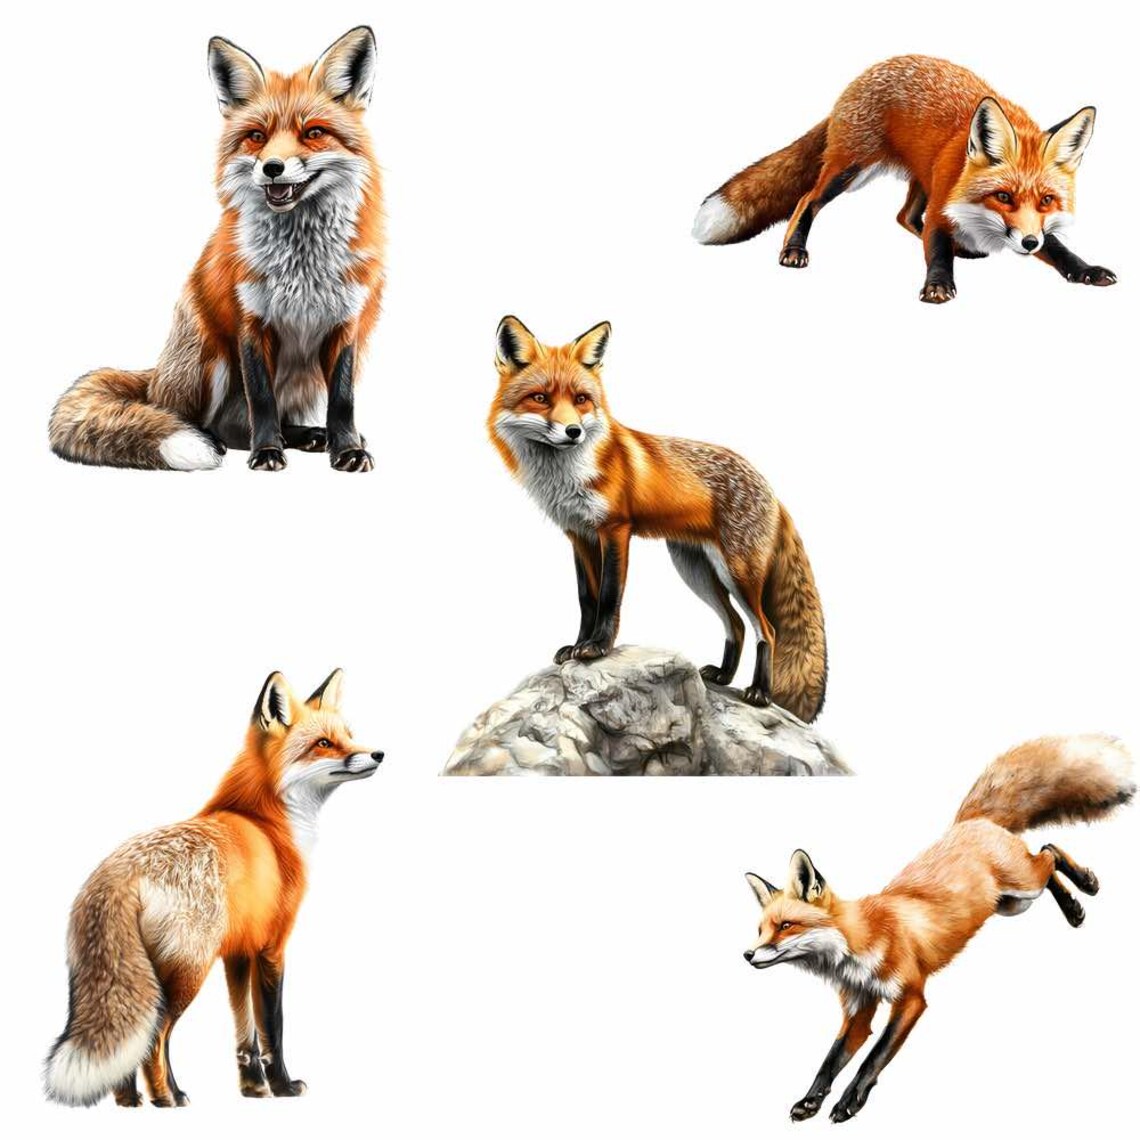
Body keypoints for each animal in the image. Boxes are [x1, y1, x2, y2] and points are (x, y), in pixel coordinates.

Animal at [43, 669, 383, 1107]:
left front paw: (253, 1087)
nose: (379, 754)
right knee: (156, 1037)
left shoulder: (237, 952)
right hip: (187, 970)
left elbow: (245, 1031)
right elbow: (273, 1026)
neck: (268, 824)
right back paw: (168, 1098)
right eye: (324, 743)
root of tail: (116, 873)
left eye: (349, 735)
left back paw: (130, 1101)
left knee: (136, 1045)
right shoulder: (272, 946)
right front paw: (283, 1087)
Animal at [49, 27, 385, 471]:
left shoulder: (346, 321)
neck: (300, 261)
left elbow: (343, 400)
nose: (272, 167)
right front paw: (267, 452)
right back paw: (214, 438)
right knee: (207, 421)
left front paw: (346, 449)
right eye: (257, 136)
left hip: (303, 377)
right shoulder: (251, 321)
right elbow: (262, 399)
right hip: (213, 358)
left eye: (313, 132)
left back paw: (310, 435)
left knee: (246, 423)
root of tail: (155, 377)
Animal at [489, 316, 826, 721]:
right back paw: (723, 675)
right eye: (540, 398)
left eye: (581, 399)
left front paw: (597, 647)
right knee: (737, 625)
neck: (567, 475)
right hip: (696, 572)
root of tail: (770, 488)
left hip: (738, 573)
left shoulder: (615, 531)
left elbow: (608, 597)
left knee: (767, 630)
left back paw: (759, 691)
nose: (574, 432)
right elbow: (586, 600)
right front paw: (577, 646)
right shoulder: (578, 535)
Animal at [693, 55, 1116, 303]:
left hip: (919, 179)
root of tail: (867, 73)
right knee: (807, 200)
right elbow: (937, 249)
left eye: (1046, 201)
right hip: (851, 170)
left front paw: (1085, 270)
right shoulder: (944, 206)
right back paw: (794, 250)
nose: (1028, 243)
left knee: (906, 217)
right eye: (1003, 197)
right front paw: (938, 284)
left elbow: (1058, 248)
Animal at [742, 734, 1133, 1122]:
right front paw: (811, 1100)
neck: (859, 942)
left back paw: (1085, 887)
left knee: (1049, 852)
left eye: (786, 925)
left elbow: (874, 1057)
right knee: (1047, 858)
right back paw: (1074, 907)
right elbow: (831, 1060)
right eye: (761, 930)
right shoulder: (859, 1007)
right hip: (1013, 905)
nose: (747, 954)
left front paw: (850, 1100)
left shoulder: (911, 997)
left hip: (1024, 887)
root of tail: (966, 823)